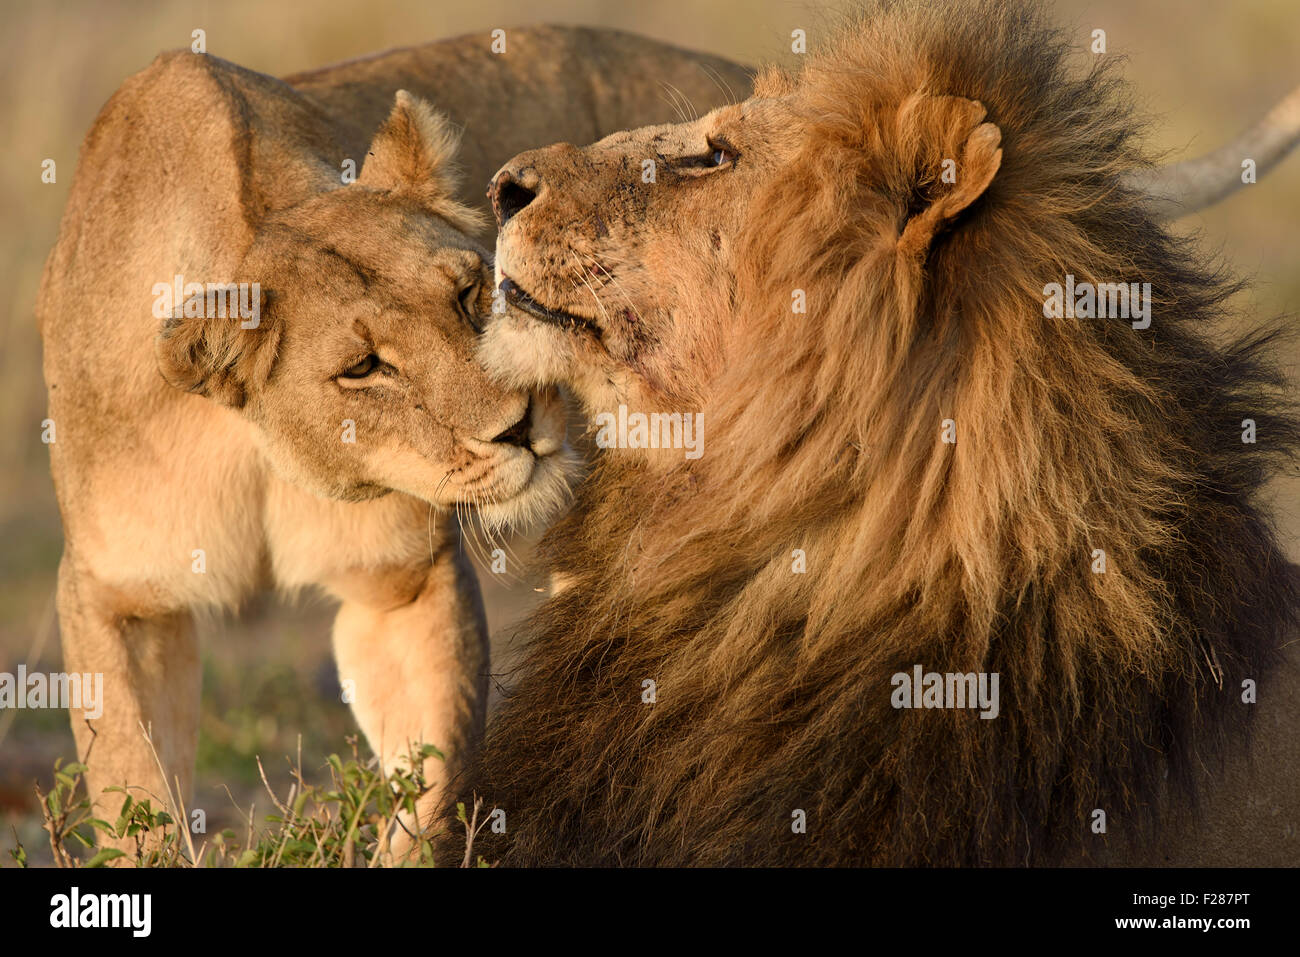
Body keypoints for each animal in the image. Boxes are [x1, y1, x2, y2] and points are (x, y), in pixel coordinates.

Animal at [37, 28, 751, 855]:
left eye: (471, 292)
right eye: (364, 367)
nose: (519, 425)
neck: (260, 447)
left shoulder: (405, 578)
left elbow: (430, 786)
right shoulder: (114, 595)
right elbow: (135, 798)